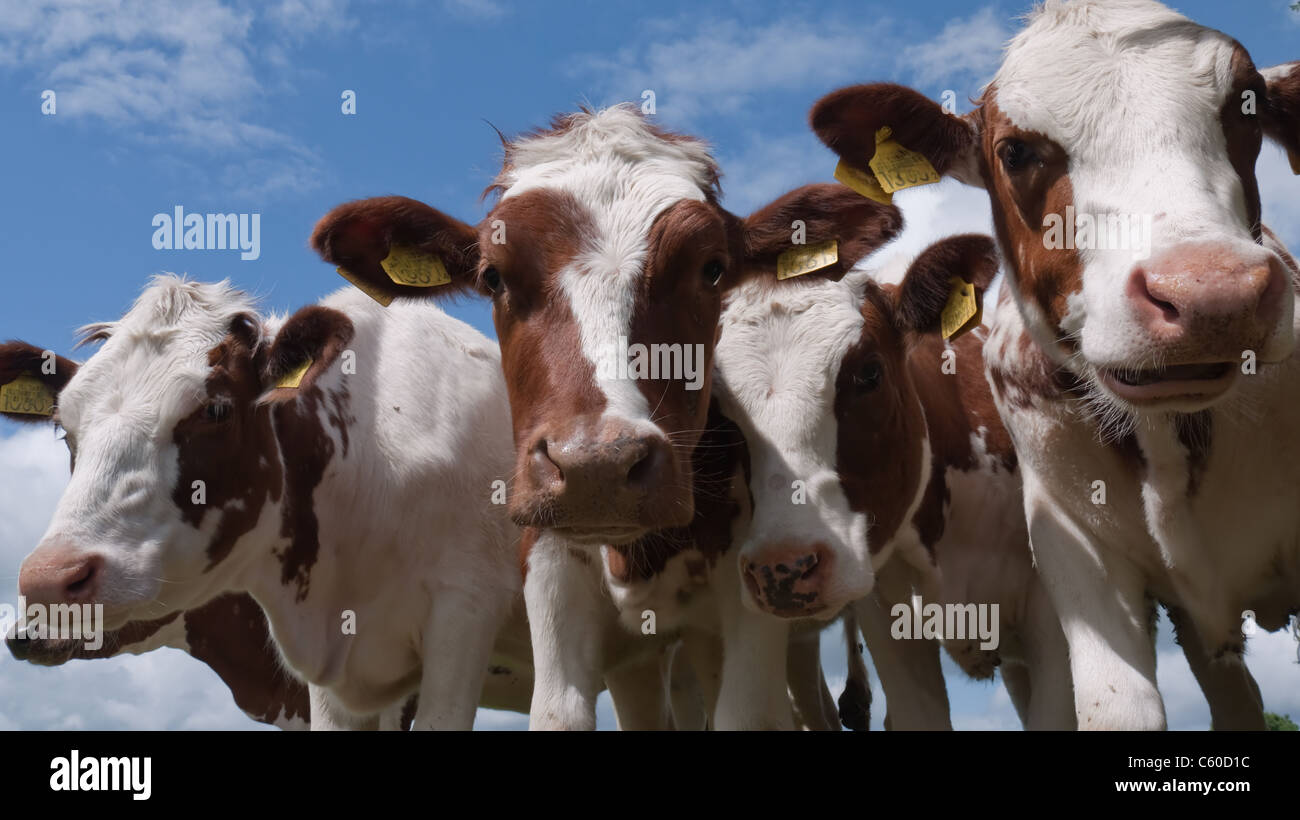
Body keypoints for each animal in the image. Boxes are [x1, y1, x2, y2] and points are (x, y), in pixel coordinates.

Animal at [309, 106, 901, 729]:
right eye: (493, 276)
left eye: (712, 269)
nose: (597, 466)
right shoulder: (550, 566)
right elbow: (559, 713)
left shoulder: (754, 587)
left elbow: (744, 712)